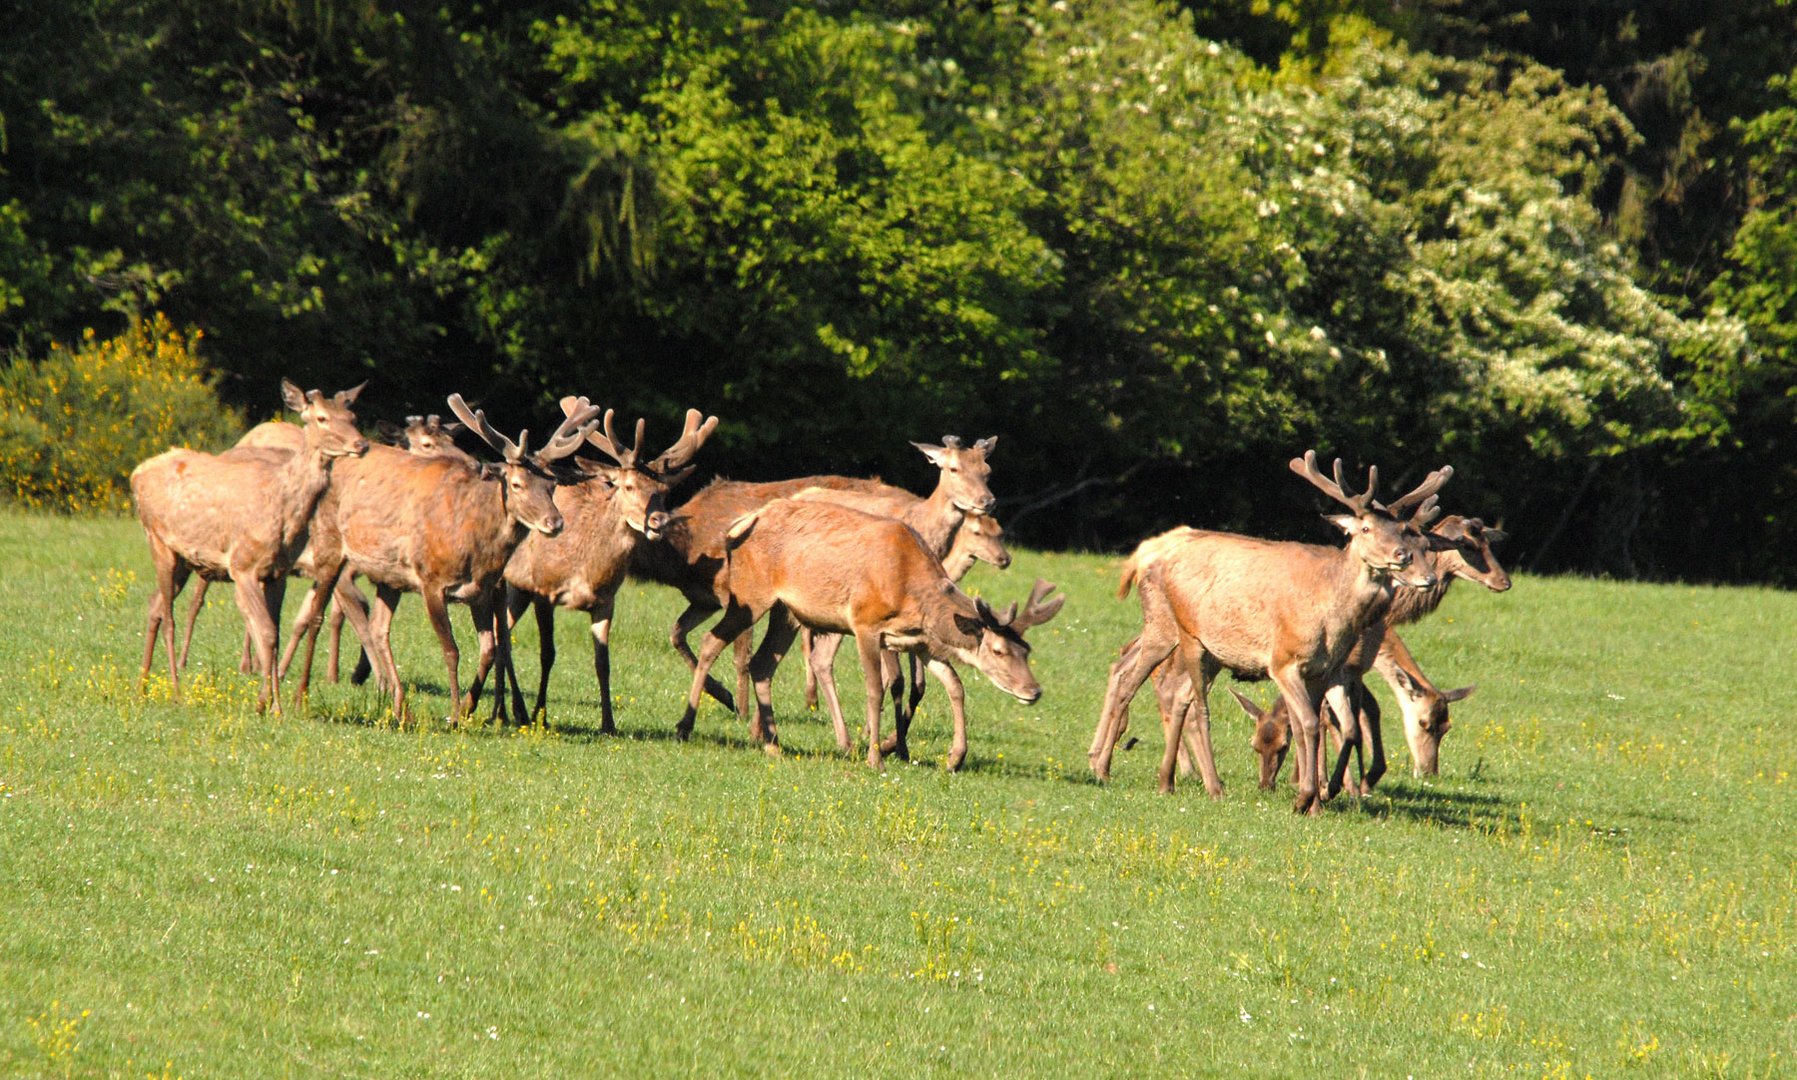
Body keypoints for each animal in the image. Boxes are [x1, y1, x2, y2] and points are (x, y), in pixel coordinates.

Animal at [130, 382, 368, 711]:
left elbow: (275, 633)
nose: (361, 444)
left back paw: (141, 687)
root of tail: (135, 474)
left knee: (153, 607)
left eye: (352, 416)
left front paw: (271, 702)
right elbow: (266, 633)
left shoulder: (277, 573)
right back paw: (176, 690)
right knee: (168, 617)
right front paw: (270, 706)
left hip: (184, 559)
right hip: (158, 540)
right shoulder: (243, 565)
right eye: (321, 418)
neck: (283, 510)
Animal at [280, 393, 600, 725]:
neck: (477, 548)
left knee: (379, 627)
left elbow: (489, 649)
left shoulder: (481, 591)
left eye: (552, 486)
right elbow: (452, 650)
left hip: (390, 577)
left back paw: (400, 707)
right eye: (516, 484)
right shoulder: (431, 579)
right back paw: (301, 697)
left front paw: (470, 706)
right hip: (330, 545)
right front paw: (456, 714)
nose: (555, 522)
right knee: (316, 616)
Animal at [503, 404, 718, 733]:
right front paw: (542, 715)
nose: (659, 521)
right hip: (512, 584)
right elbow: (547, 654)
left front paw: (608, 723)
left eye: (663, 490)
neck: (585, 567)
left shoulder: (606, 601)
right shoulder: (543, 589)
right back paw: (516, 710)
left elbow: (603, 663)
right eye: (627, 486)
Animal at [679, 495, 1056, 765]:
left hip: (787, 611)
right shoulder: (865, 623)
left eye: (1026, 650)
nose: (1034, 690)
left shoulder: (922, 643)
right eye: (998, 650)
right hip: (750, 595)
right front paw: (876, 757)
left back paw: (774, 744)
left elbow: (955, 686)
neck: (913, 597)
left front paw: (955, 758)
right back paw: (686, 726)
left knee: (761, 663)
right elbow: (875, 688)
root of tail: (740, 524)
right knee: (711, 640)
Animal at [1085, 451, 1451, 812]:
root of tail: (1144, 554)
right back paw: (1176, 780)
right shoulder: (1283, 662)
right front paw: (1307, 797)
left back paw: (1166, 781)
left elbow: (1318, 728)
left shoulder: (1324, 670)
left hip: (1214, 652)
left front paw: (1316, 800)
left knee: (1174, 693)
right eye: (1365, 528)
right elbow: (1309, 724)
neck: (1332, 618)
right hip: (1182, 633)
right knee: (1176, 696)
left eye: (1402, 530)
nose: (1404, 557)